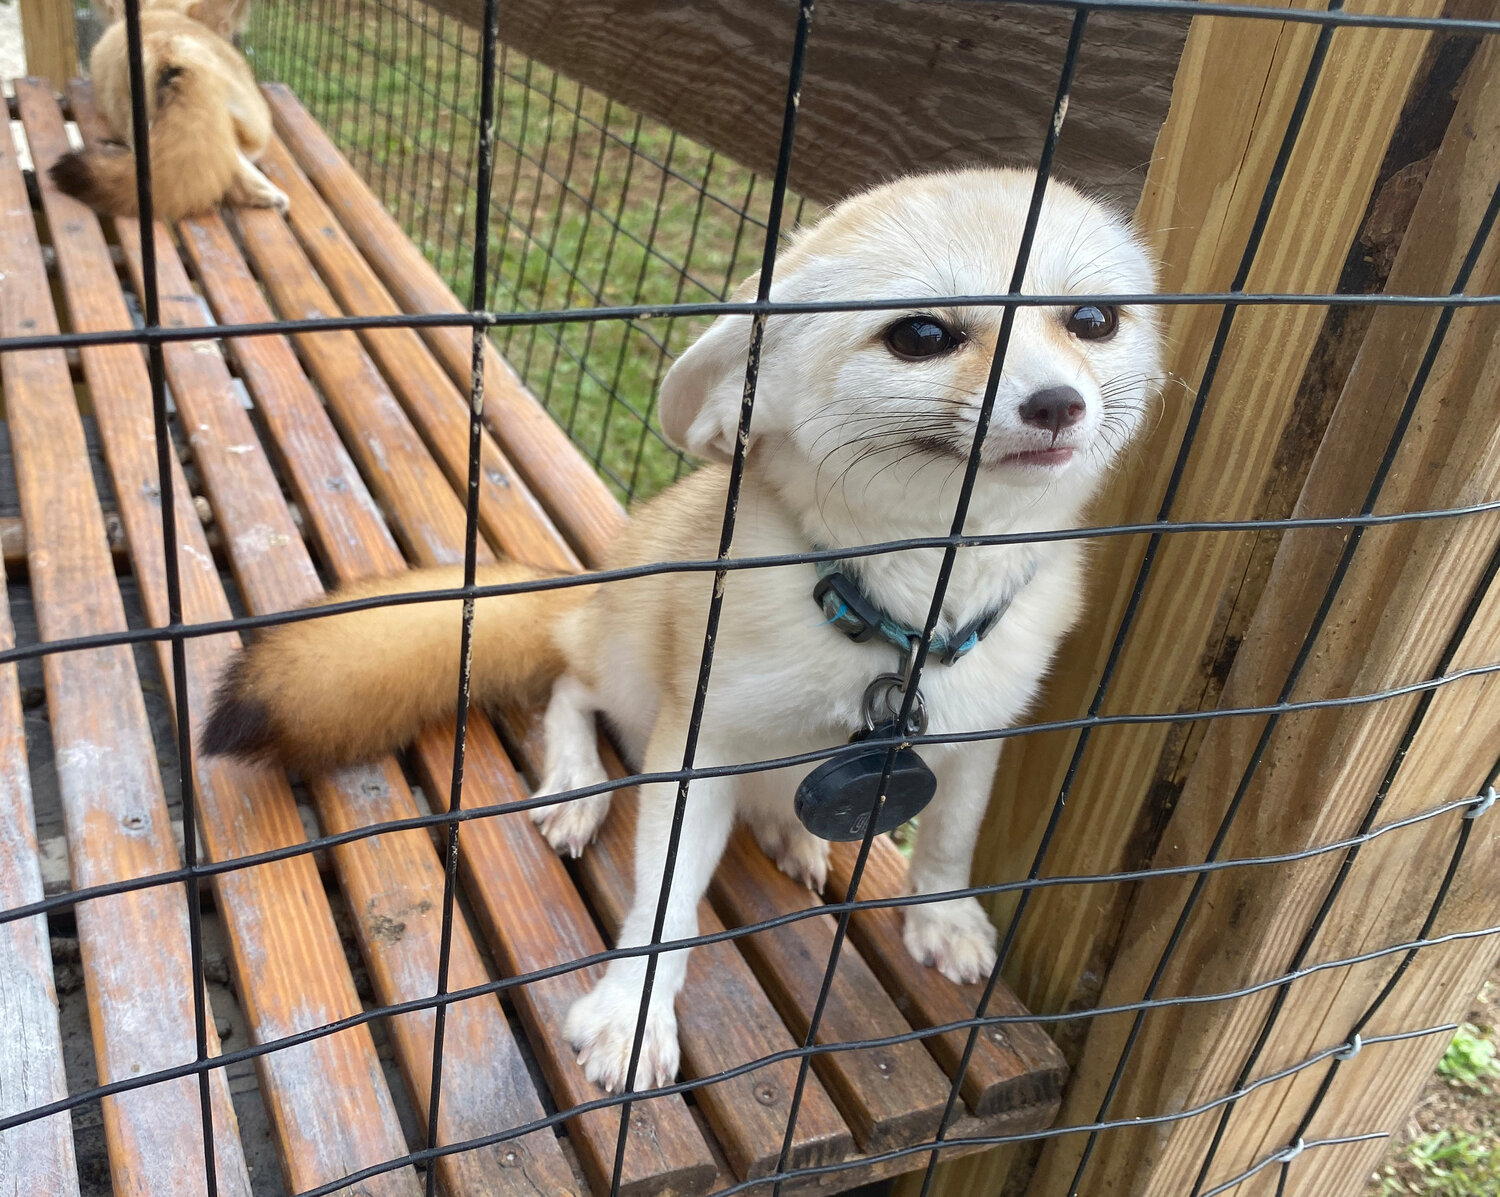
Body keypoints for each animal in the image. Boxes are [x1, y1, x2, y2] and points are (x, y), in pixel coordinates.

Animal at [203, 168, 1164, 1093]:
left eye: (1093, 319)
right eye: (922, 335)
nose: (1058, 404)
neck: (912, 610)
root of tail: (595, 588)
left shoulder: (978, 733)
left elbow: (951, 838)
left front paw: (942, 916)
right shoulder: (699, 744)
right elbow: (664, 909)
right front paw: (633, 1015)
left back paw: (793, 833)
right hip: (629, 664)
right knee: (570, 687)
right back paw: (579, 785)